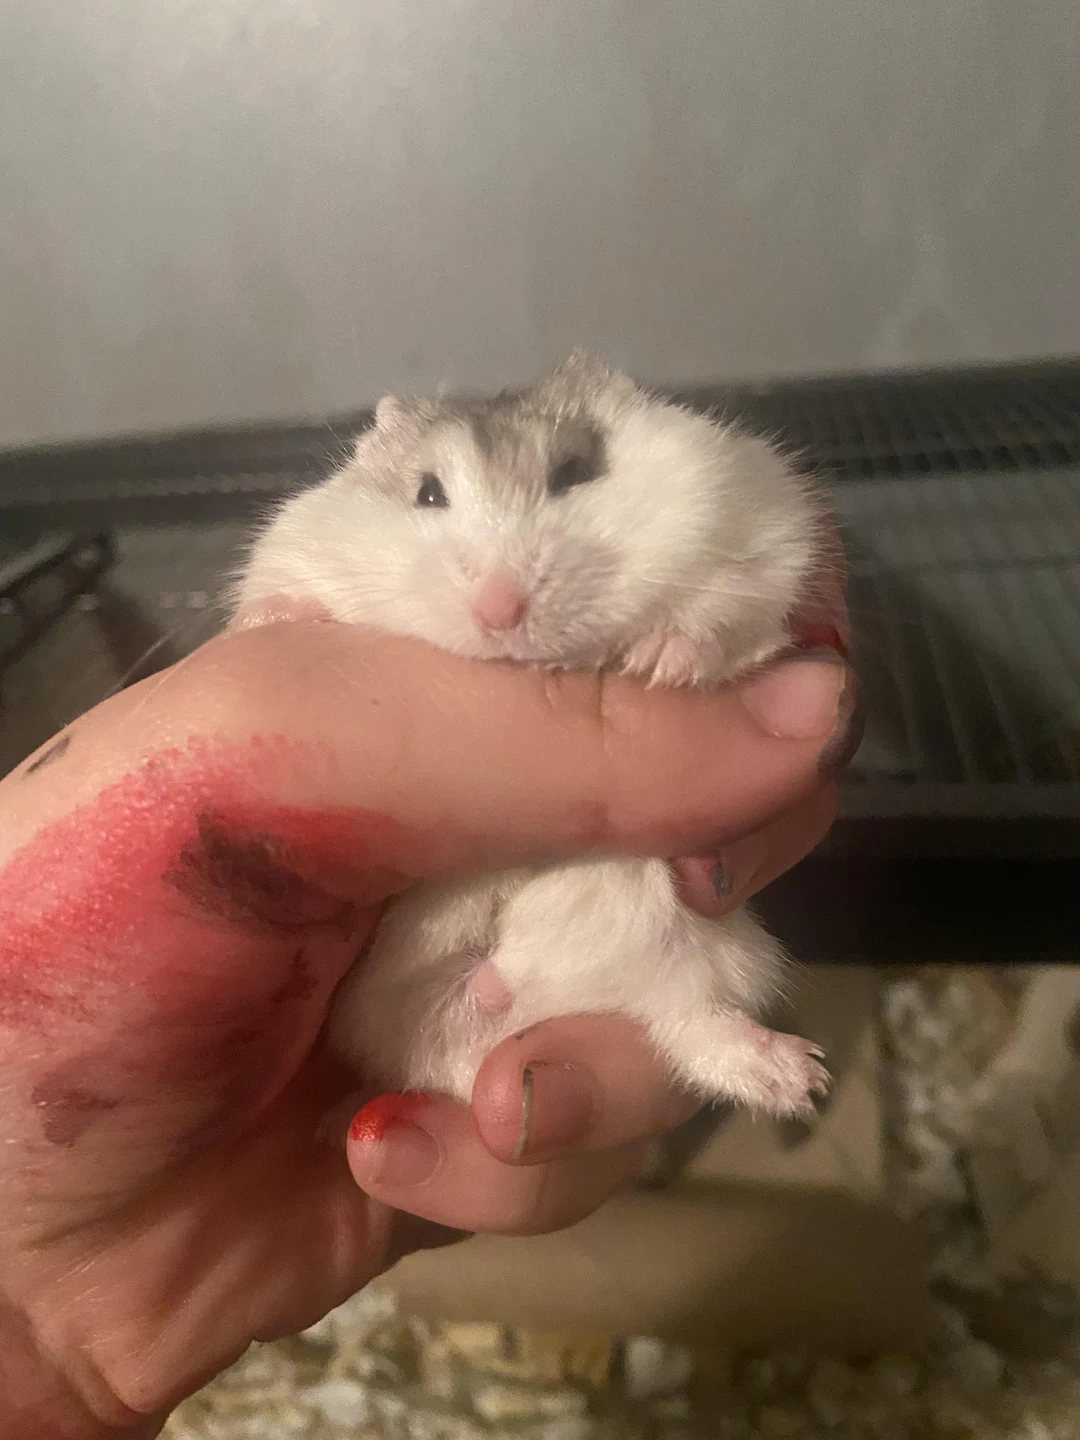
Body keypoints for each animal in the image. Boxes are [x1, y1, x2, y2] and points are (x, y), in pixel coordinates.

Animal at [233, 351, 831, 1117]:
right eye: (428, 493)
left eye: (573, 472)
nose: (501, 611)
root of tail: (511, 992)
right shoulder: (296, 543)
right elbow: (282, 591)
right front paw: (277, 621)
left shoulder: (761, 532)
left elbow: (721, 616)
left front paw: (659, 662)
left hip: (705, 951)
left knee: (694, 1024)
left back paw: (800, 1076)